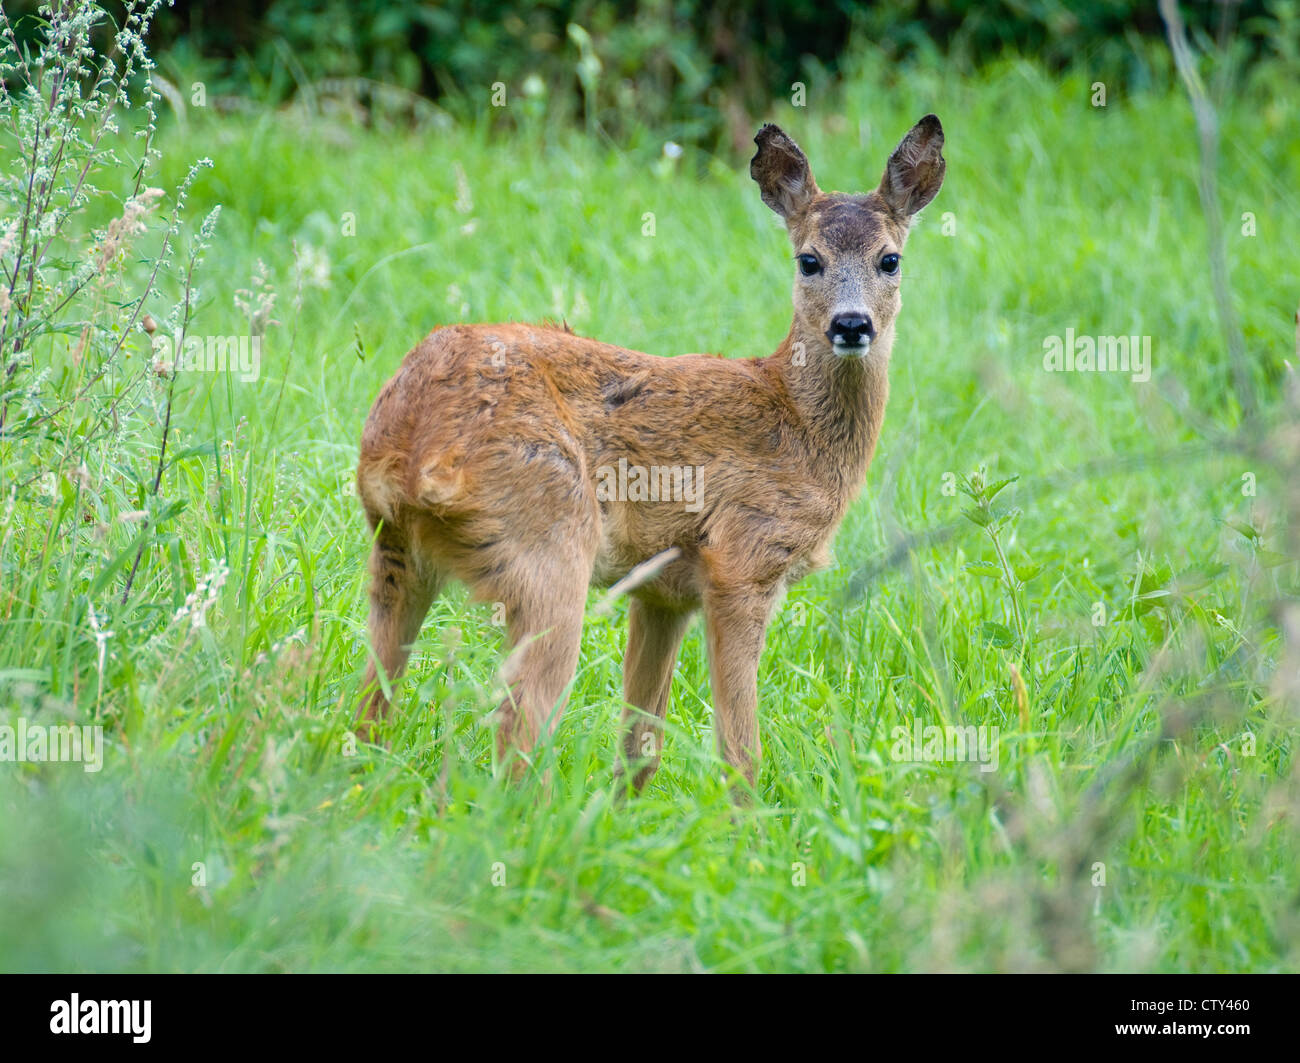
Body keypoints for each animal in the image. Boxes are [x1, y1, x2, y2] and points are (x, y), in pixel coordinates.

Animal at [355, 115, 945, 799]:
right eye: (809, 260)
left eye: (890, 259)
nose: (852, 325)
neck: (795, 424)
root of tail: (411, 443)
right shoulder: (741, 560)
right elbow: (739, 752)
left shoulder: (664, 591)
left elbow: (640, 747)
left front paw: (624, 812)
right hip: (549, 545)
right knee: (516, 733)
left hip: (396, 553)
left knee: (369, 709)